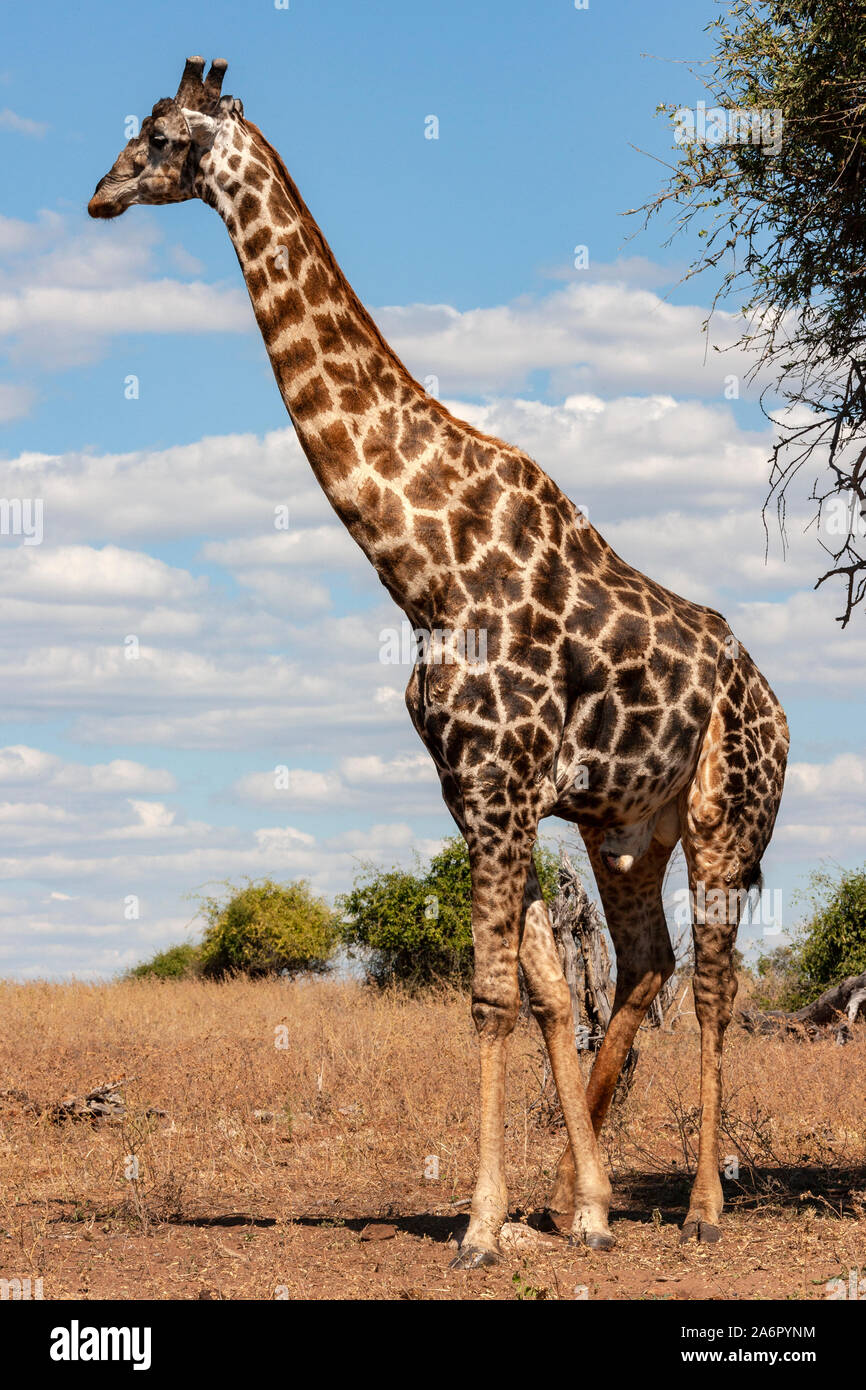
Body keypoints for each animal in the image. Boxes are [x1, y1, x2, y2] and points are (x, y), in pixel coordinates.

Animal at [88, 57, 790, 1267]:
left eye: (163, 137)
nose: (99, 194)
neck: (419, 565)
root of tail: (784, 710)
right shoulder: (476, 791)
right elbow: (545, 993)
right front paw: (575, 1208)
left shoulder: (501, 787)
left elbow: (491, 997)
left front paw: (480, 1223)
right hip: (625, 829)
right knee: (646, 963)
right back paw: (580, 1195)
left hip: (723, 818)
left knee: (712, 985)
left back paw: (701, 1205)